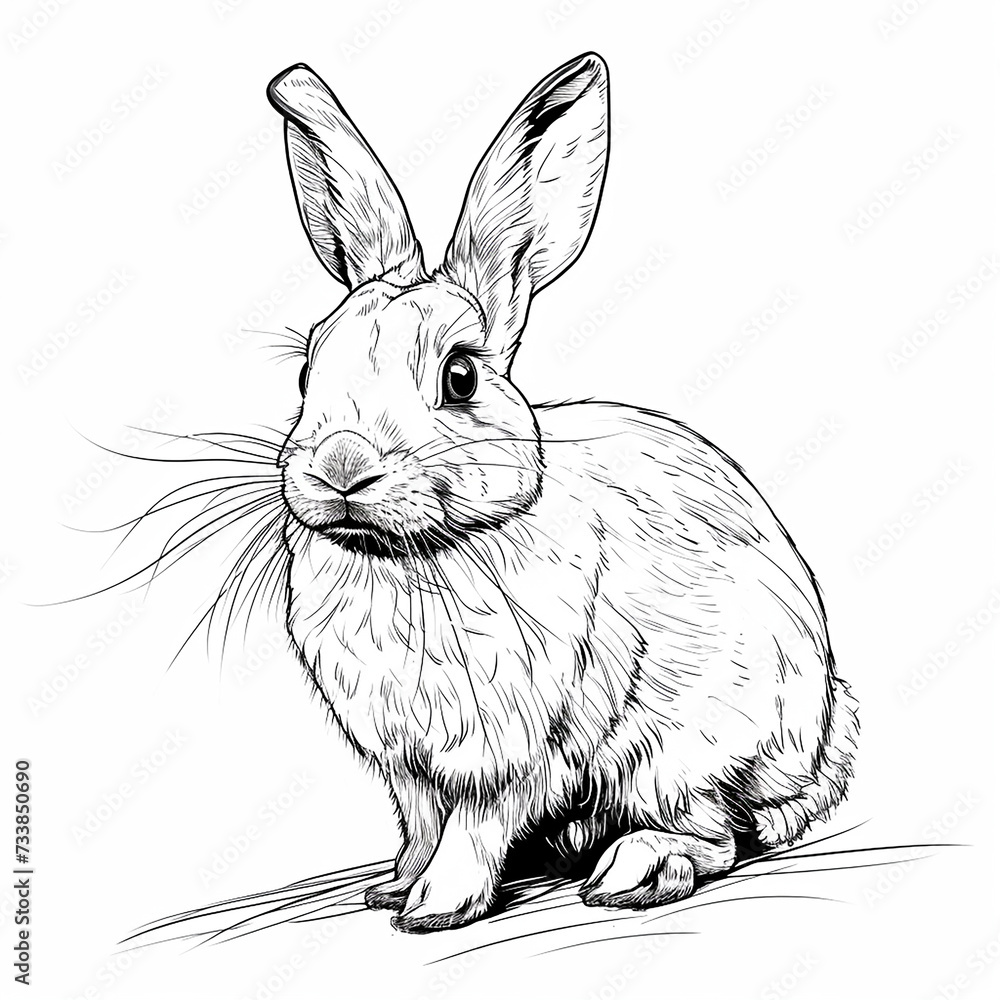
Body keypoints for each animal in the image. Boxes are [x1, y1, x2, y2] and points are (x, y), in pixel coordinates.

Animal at [265, 52, 859, 933]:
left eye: (461, 376)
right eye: (307, 371)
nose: (341, 468)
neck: (417, 552)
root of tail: (825, 741)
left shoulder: (509, 751)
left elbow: (472, 829)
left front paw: (435, 908)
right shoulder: (410, 767)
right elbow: (420, 824)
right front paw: (394, 888)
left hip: (689, 748)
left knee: (718, 834)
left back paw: (636, 867)